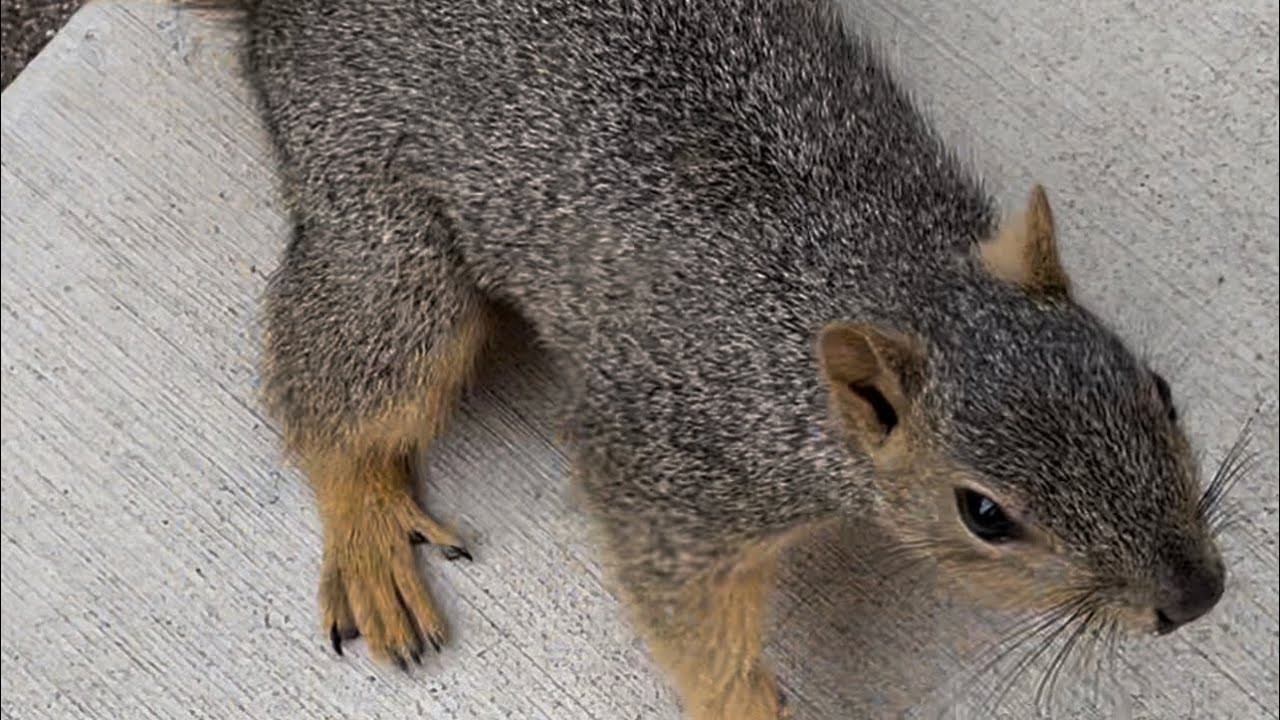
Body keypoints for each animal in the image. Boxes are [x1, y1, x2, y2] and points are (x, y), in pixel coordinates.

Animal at [203, 0, 1229, 717]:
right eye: (983, 514)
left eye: (1160, 390)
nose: (1194, 598)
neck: (877, 270)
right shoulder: (673, 465)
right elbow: (686, 610)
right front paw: (740, 703)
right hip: (392, 244)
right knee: (339, 385)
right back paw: (368, 534)